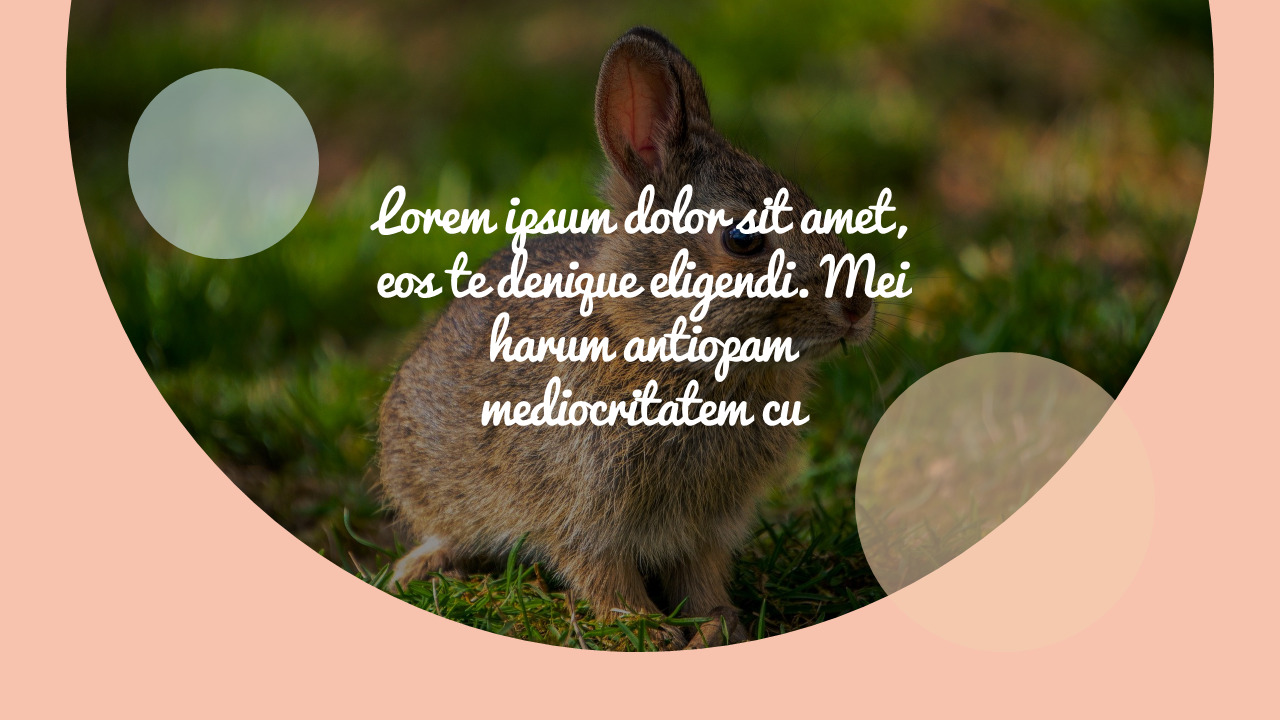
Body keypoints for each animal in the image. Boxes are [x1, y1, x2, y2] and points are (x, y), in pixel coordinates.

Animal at [377, 26, 875, 649]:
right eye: (742, 238)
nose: (858, 307)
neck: (667, 354)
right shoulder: (581, 511)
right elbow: (601, 573)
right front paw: (645, 629)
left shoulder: (705, 526)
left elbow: (701, 575)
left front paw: (720, 625)